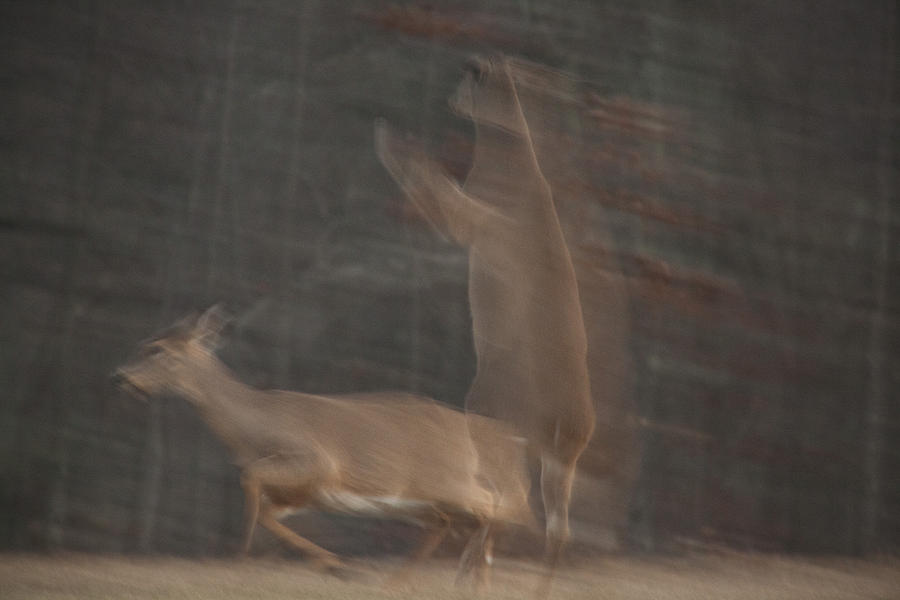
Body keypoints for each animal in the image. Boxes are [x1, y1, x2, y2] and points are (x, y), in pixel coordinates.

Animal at [113, 306, 534, 587]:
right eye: (145, 343)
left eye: (158, 350)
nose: (120, 376)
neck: (253, 430)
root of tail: (489, 433)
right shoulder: (298, 493)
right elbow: (265, 509)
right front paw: (331, 563)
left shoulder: (315, 461)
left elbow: (250, 480)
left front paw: (245, 555)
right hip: (422, 501)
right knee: (453, 520)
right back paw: (409, 580)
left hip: (445, 480)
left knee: (501, 505)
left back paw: (475, 573)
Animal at [375, 55, 595, 596]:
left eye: (464, 77)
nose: (451, 98)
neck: (510, 171)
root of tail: (568, 424)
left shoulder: (475, 222)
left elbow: (433, 189)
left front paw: (389, 137)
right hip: (557, 457)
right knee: (554, 526)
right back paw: (508, 580)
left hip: (489, 413)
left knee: (504, 501)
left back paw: (471, 569)